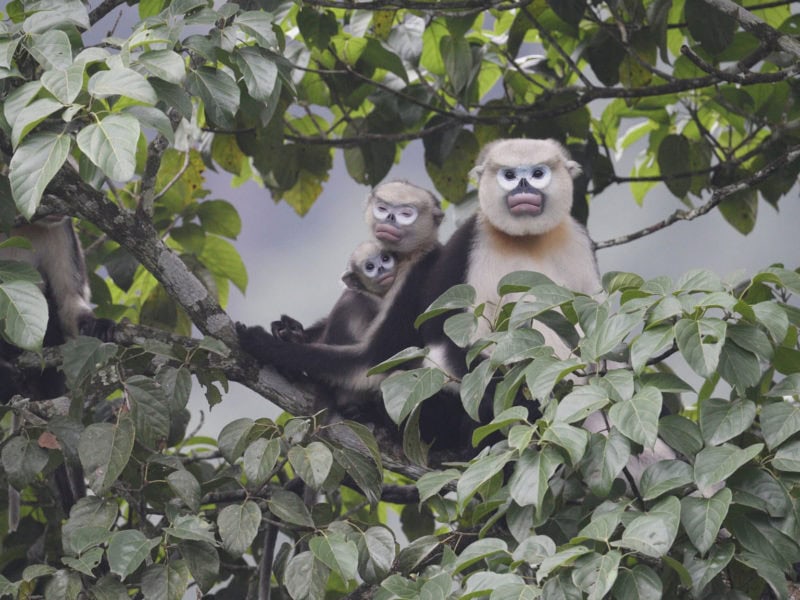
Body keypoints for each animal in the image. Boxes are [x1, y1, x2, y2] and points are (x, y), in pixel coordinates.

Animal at [237, 139, 599, 450]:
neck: (526, 239)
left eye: (538, 173)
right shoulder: (467, 242)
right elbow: (441, 335)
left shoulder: (576, 239)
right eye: (510, 176)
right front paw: (285, 333)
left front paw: (267, 344)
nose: (524, 186)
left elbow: (377, 358)